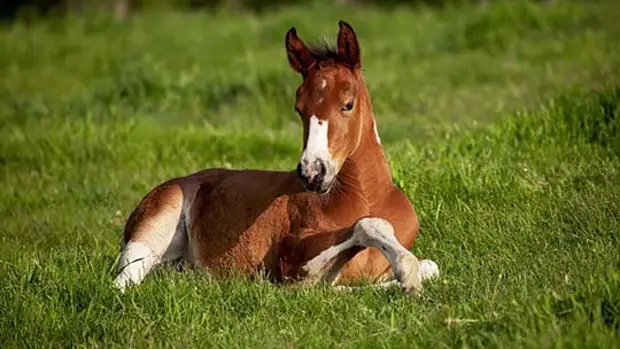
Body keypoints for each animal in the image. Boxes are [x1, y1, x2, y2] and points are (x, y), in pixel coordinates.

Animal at [112, 20, 440, 294]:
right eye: (299, 108)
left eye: (348, 104)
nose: (312, 172)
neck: (367, 197)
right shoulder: (291, 260)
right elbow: (366, 228)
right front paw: (406, 274)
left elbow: (431, 266)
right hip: (153, 229)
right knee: (122, 283)